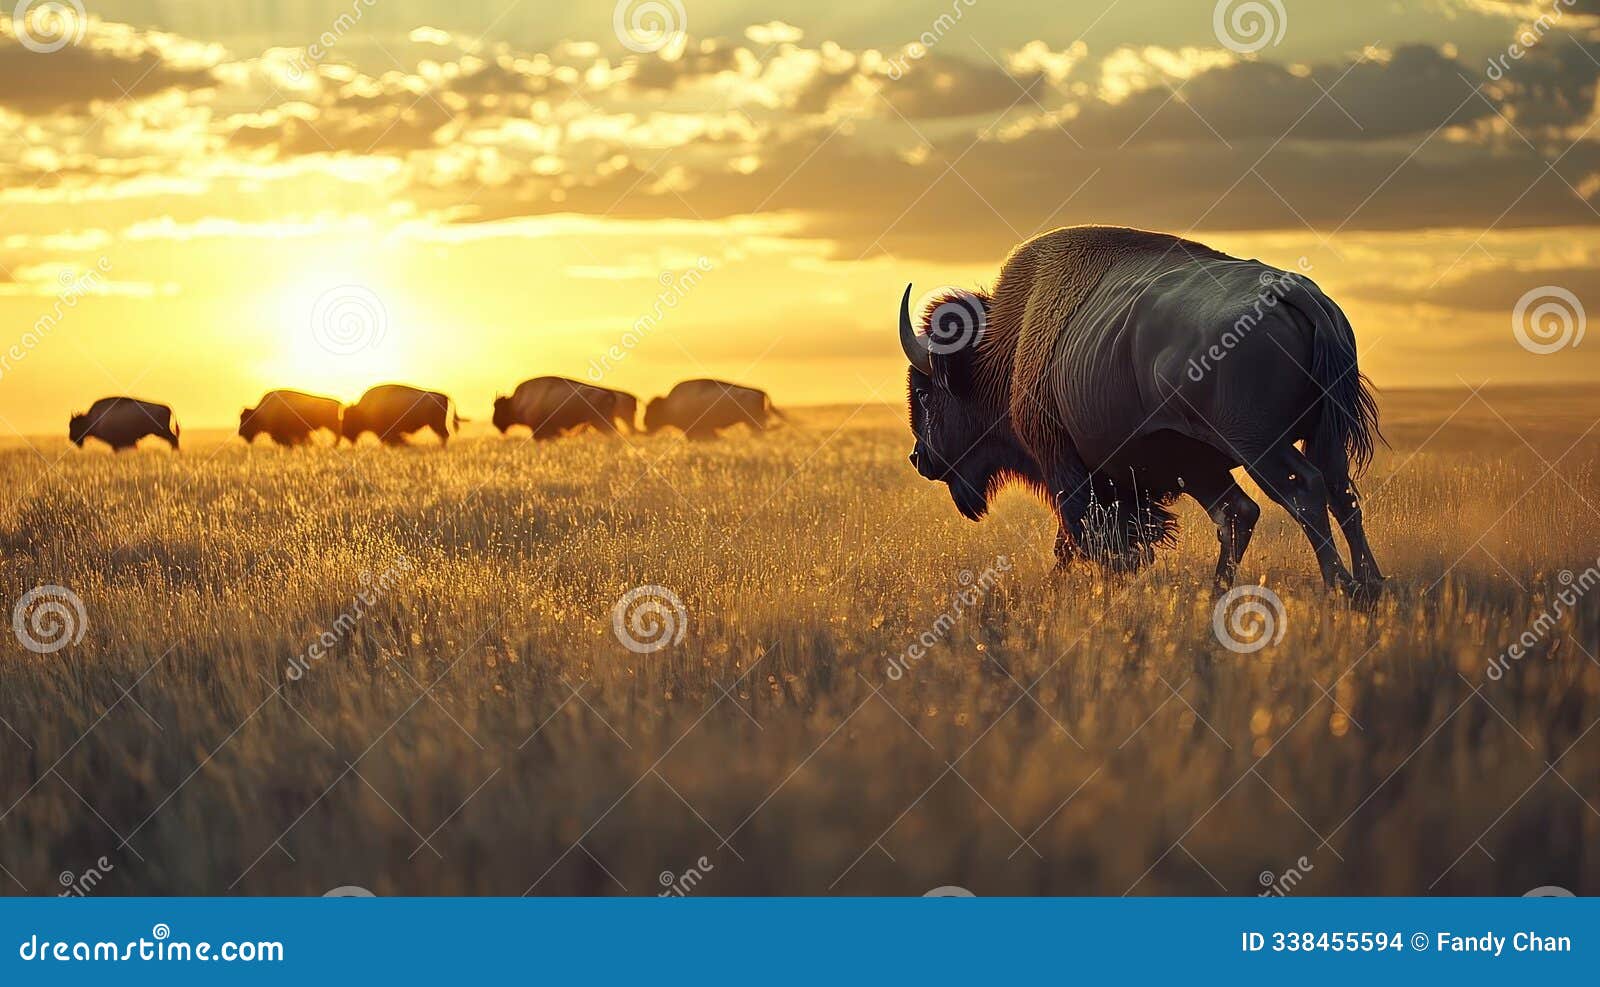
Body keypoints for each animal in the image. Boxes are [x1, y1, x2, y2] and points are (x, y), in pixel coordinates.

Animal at [900, 225, 1383, 599]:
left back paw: (1340, 587)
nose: (919, 458)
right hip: (1301, 442)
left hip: (1259, 445)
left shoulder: (1065, 466)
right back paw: (1367, 587)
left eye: (925, 394)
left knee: (1304, 491)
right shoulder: (1181, 468)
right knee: (1330, 495)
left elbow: (1081, 538)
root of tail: (1300, 293)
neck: (1006, 347)